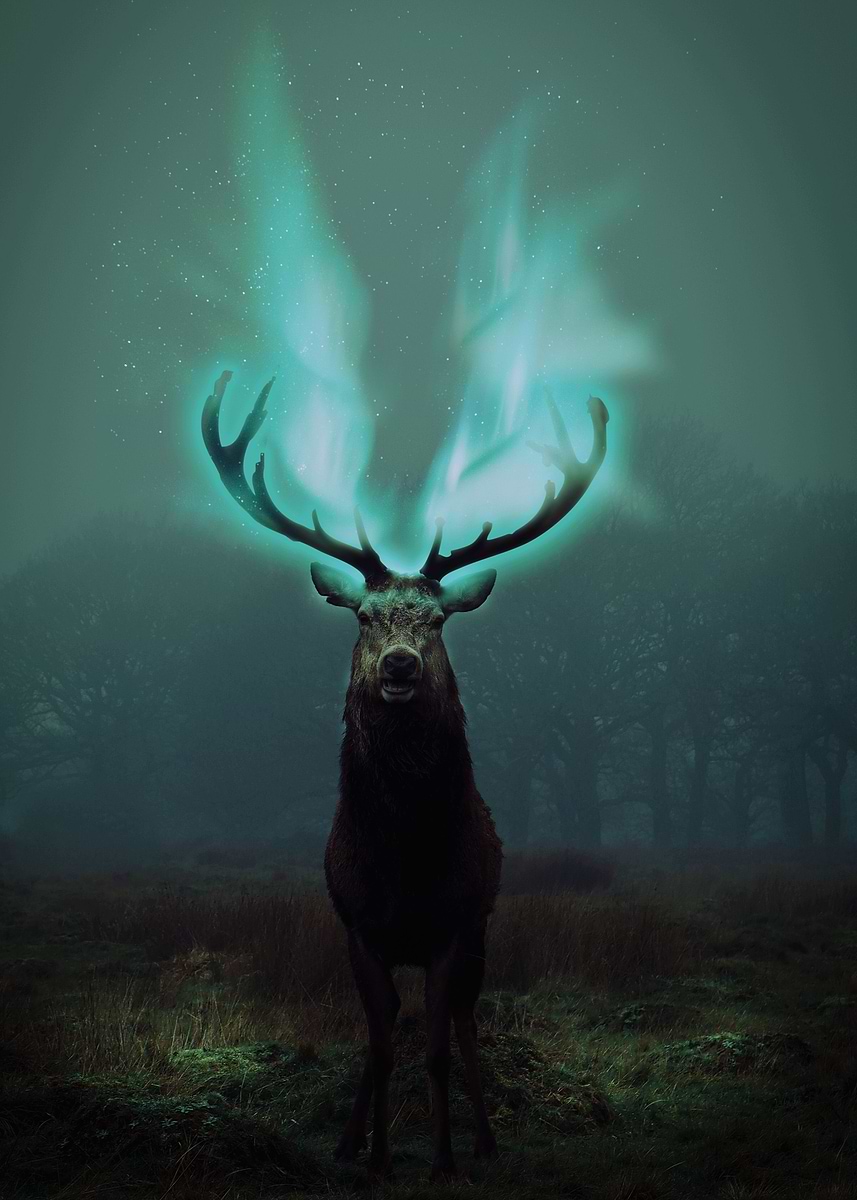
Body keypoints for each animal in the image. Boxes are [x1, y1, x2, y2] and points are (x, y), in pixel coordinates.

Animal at [201, 369, 608, 1179]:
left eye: (438, 621)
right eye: (363, 617)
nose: (398, 666)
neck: (405, 863)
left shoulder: (453, 925)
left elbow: (437, 1050)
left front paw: (445, 1158)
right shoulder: (359, 927)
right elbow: (383, 1044)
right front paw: (377, 1158)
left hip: (480, 933)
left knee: (464, 1023)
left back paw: (483, 1139)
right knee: (385, 1030)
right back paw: (349, 1137)